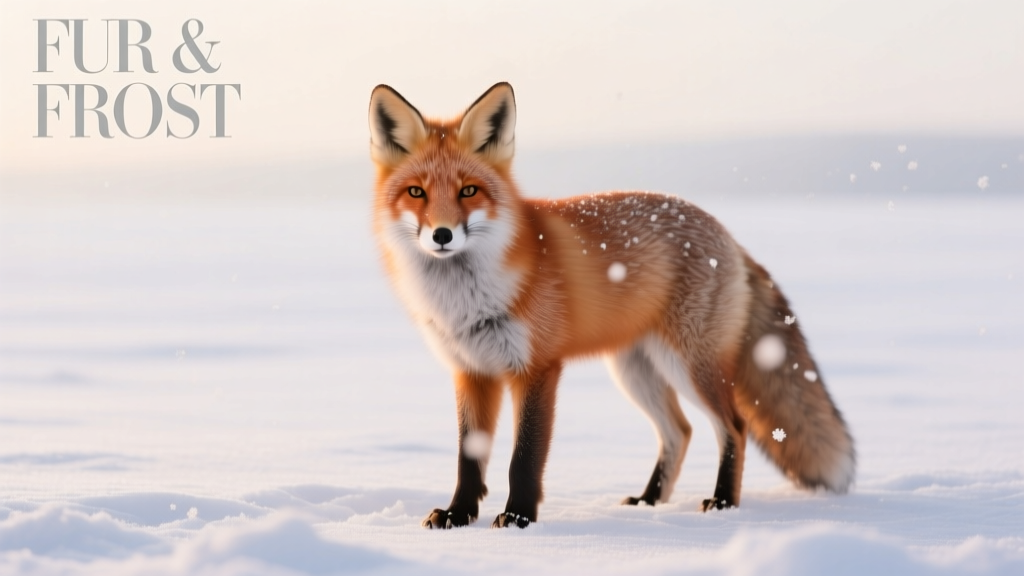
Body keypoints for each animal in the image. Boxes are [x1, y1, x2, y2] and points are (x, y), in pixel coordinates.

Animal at [368, 82, 855, 529]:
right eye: (416, 192)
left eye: (469, 191)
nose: (442, 235)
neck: (467, 300)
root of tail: (728, 234)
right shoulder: (471, 371)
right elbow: (468, 458)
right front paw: (458, 514)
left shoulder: (537, 368)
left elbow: (524, 458)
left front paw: (520, 518)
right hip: (635, 371)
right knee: (680, 431)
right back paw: (649, 501)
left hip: (689, 365)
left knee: (733, 426)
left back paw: (722, 503)